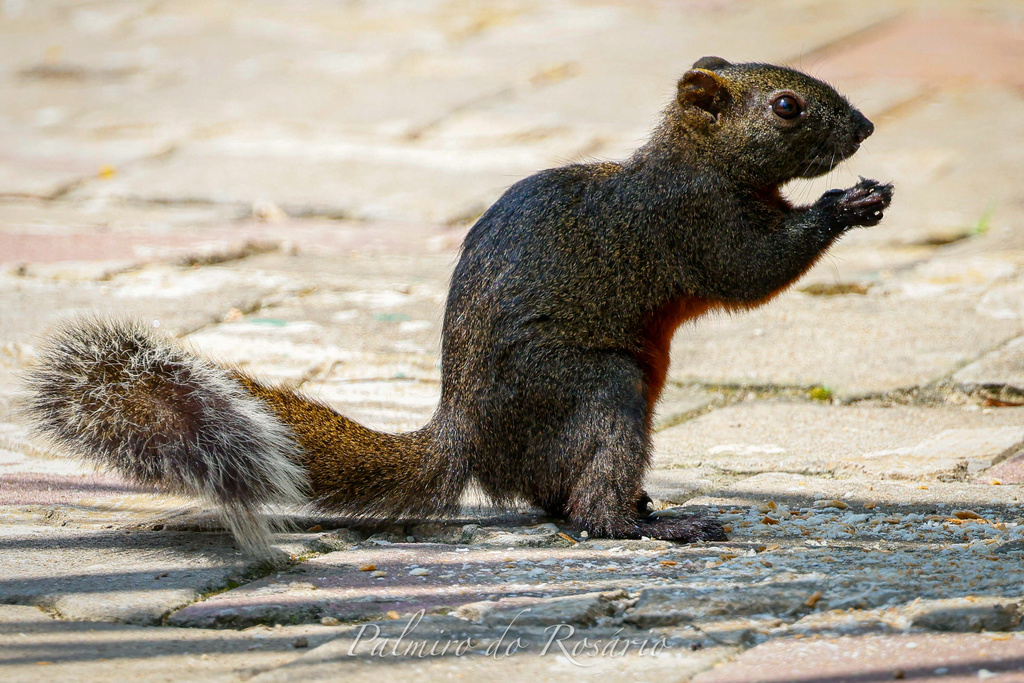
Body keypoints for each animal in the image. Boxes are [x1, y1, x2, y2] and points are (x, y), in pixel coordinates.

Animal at [22, 57, 893, 556]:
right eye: (785, 106)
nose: (867, 124)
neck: (695, 158)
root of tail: (467, 435)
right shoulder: (691, 222)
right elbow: (751, 270)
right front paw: (846, 204)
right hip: (599, 388)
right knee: (587, 506)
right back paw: (649, 522)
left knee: (556, 495)